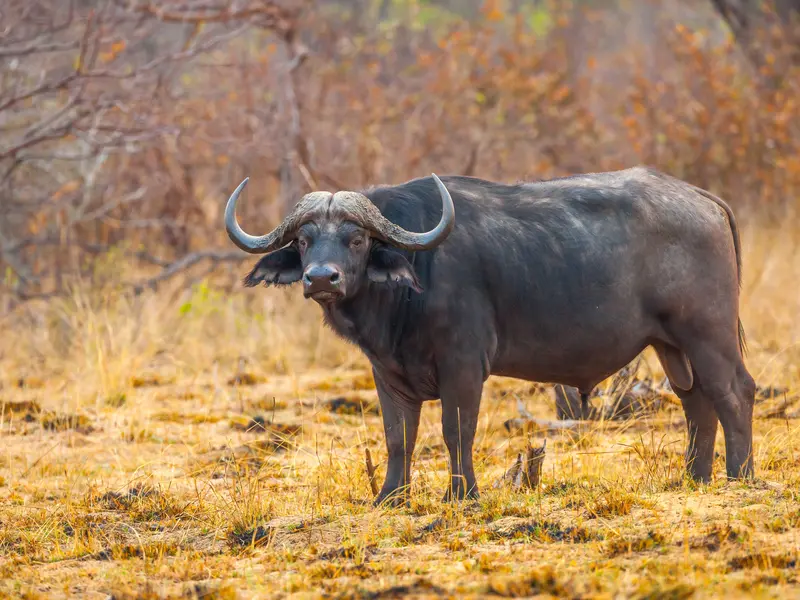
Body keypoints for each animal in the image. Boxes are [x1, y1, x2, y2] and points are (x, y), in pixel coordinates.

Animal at [225, 166, 754, 504]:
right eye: (304, 240)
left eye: (356, 239)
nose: (321, 278)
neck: (414, 280)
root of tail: (703, 199)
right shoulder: (388, 374)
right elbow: (399, 437)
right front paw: (390, 497)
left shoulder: (463, 365)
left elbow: (456, 429)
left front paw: (461, 494)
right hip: (672, 346)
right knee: (696, 402)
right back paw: (695, 479)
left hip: (707, 334)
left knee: (734, 393)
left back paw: (739, 476)